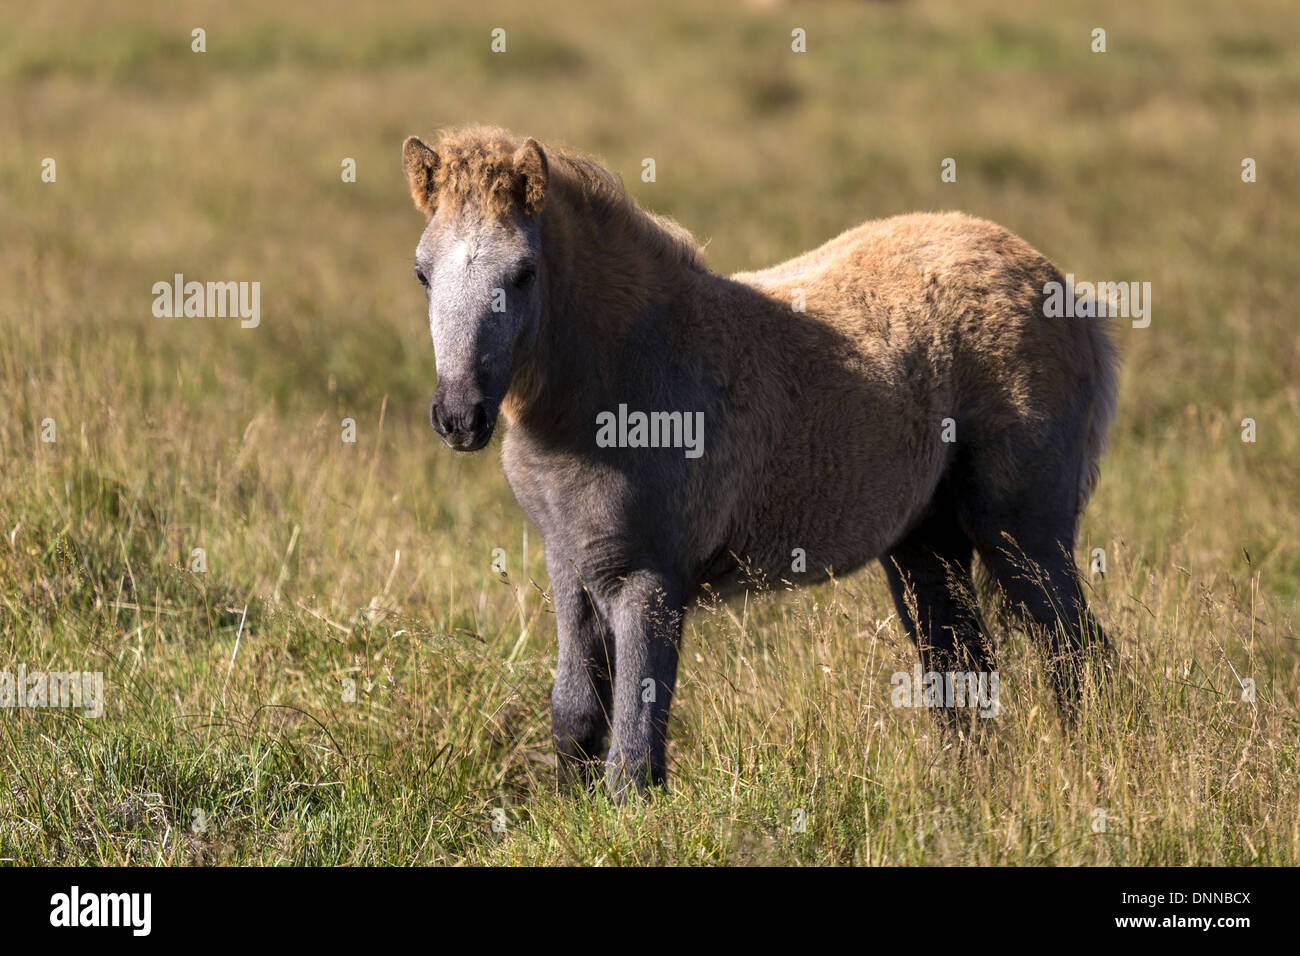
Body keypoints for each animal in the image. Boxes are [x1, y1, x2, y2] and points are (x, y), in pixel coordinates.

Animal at [401, 126, 1117, 797]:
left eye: (523, 273)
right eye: (422, 273)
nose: (459, 416)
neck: (621, 376)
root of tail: (1059, 286)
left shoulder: (649, 579)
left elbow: (635, 748)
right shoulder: (571, 564)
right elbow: (575, 714)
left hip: (1022, 532)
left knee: (1079, 657)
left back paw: (1091, 775)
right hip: (924, 542)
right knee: (962, 669)